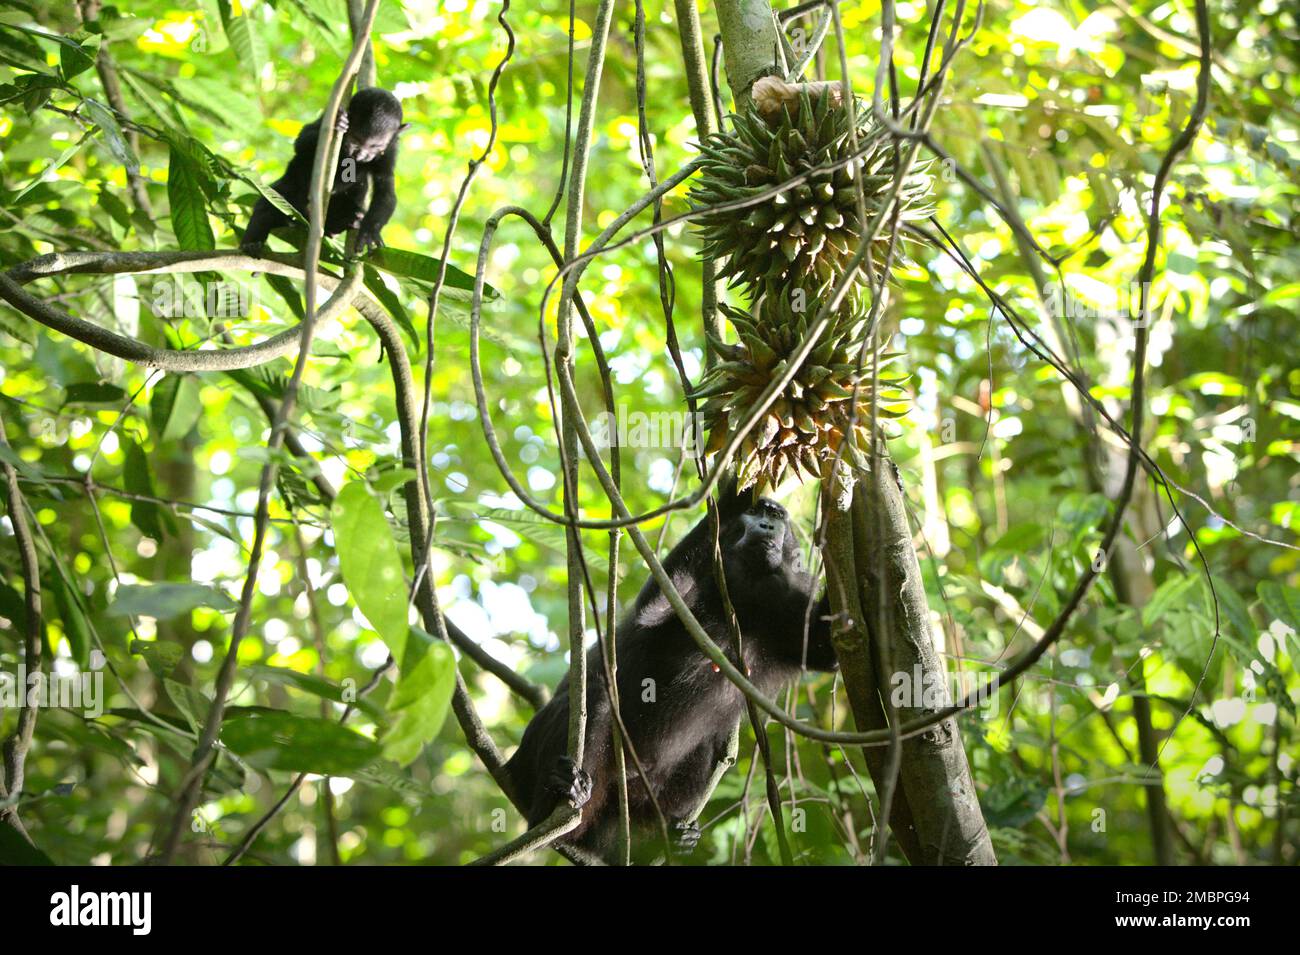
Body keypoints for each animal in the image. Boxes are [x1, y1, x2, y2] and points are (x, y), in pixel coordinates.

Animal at [240, 87, 408, 254]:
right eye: (355, 138)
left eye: (376, 147)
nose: (360, 155)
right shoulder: (328, 114)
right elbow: (302, 141)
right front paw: (338, 124)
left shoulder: (390, 150)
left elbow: (385, 188)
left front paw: (369, 231)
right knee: (266, 207)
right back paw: (251, 243)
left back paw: (350, 220)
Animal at [504, 486, 839, 864]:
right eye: (757, 512)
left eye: (777, 517)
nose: (766, 524)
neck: (743, 595)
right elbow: (655, 605)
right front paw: (729, 495)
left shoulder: (785, 603)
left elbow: (828, 648)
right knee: (596, 695)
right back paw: (561, 793)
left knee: (707, 747)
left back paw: (671, 837)